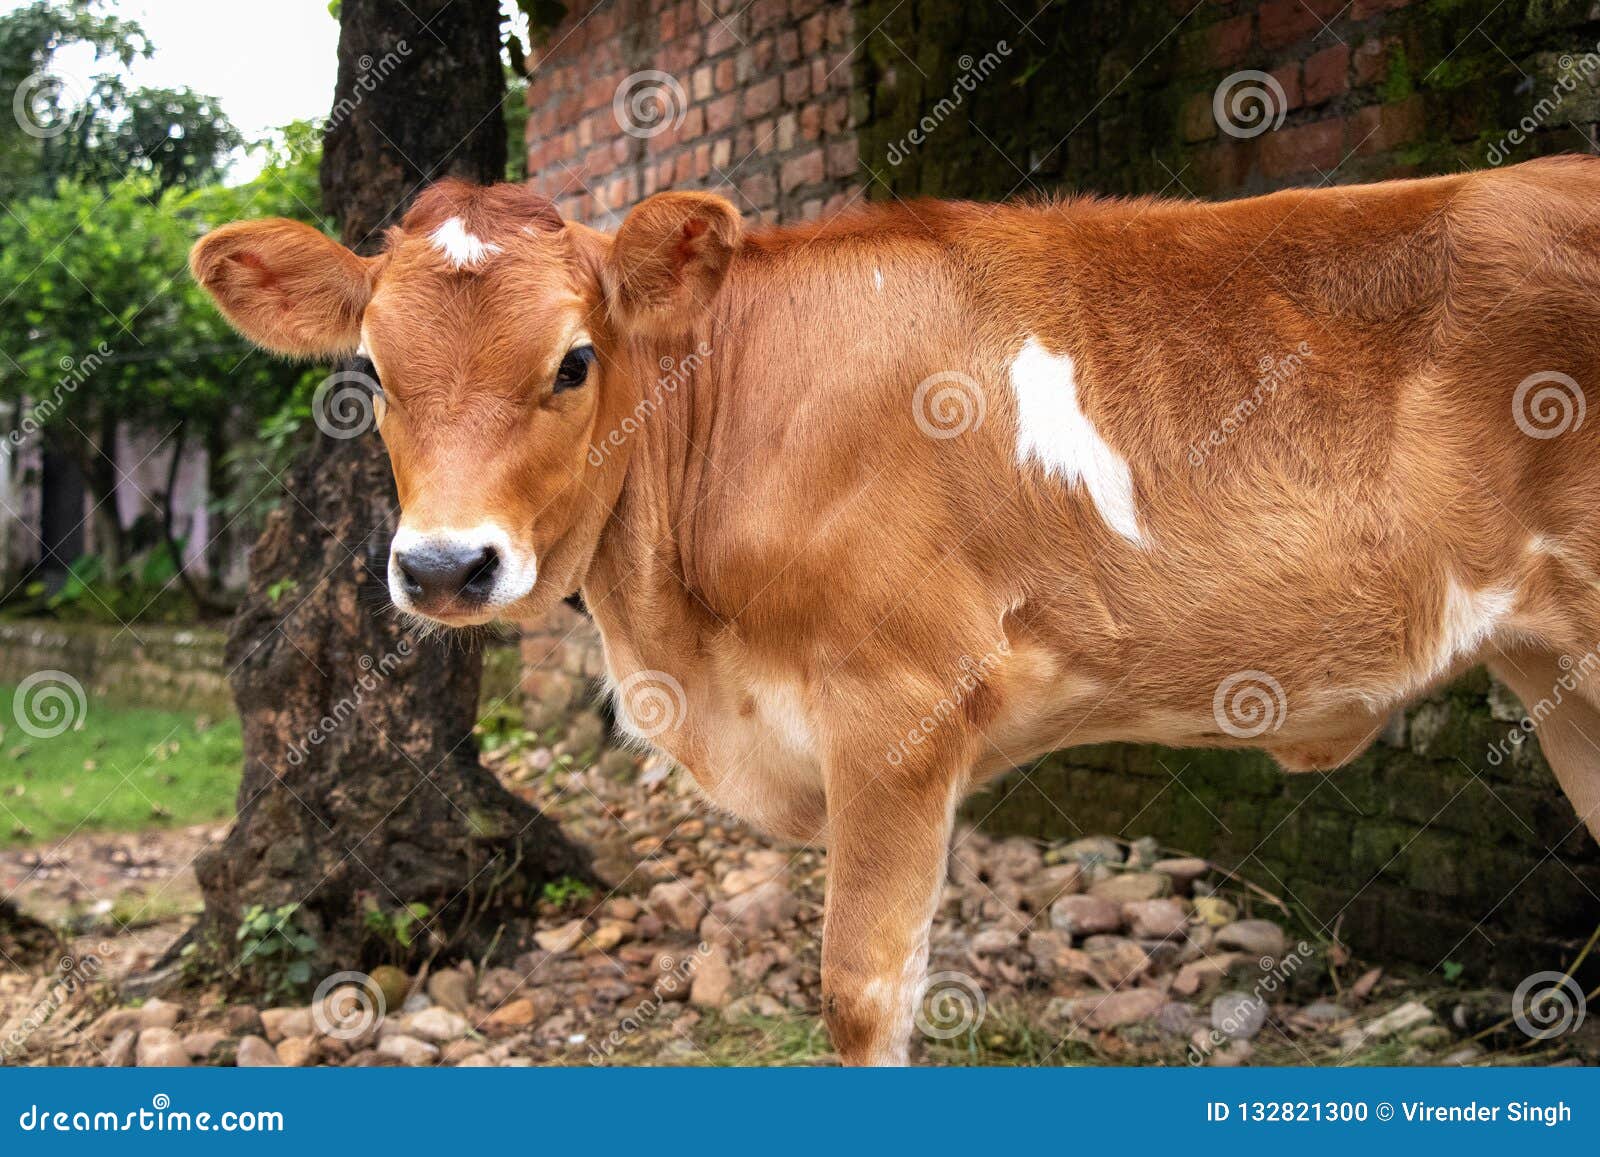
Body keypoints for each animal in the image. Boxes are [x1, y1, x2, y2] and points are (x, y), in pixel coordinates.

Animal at [192, 154, 1600, 1065]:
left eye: (574, 360)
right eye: (373, 371)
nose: (443, 567)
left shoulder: (897, 709)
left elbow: (863, 997)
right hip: (1556, 670)